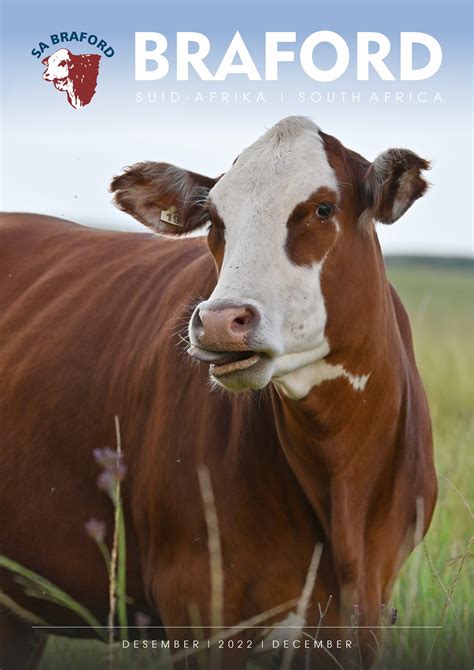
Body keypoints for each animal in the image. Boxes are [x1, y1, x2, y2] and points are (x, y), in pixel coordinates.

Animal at [0, 117, 437, 670]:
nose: (219, 322)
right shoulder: (197, 607)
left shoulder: (363, 616)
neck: (342, 475)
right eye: (213, 217)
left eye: (322, 207)